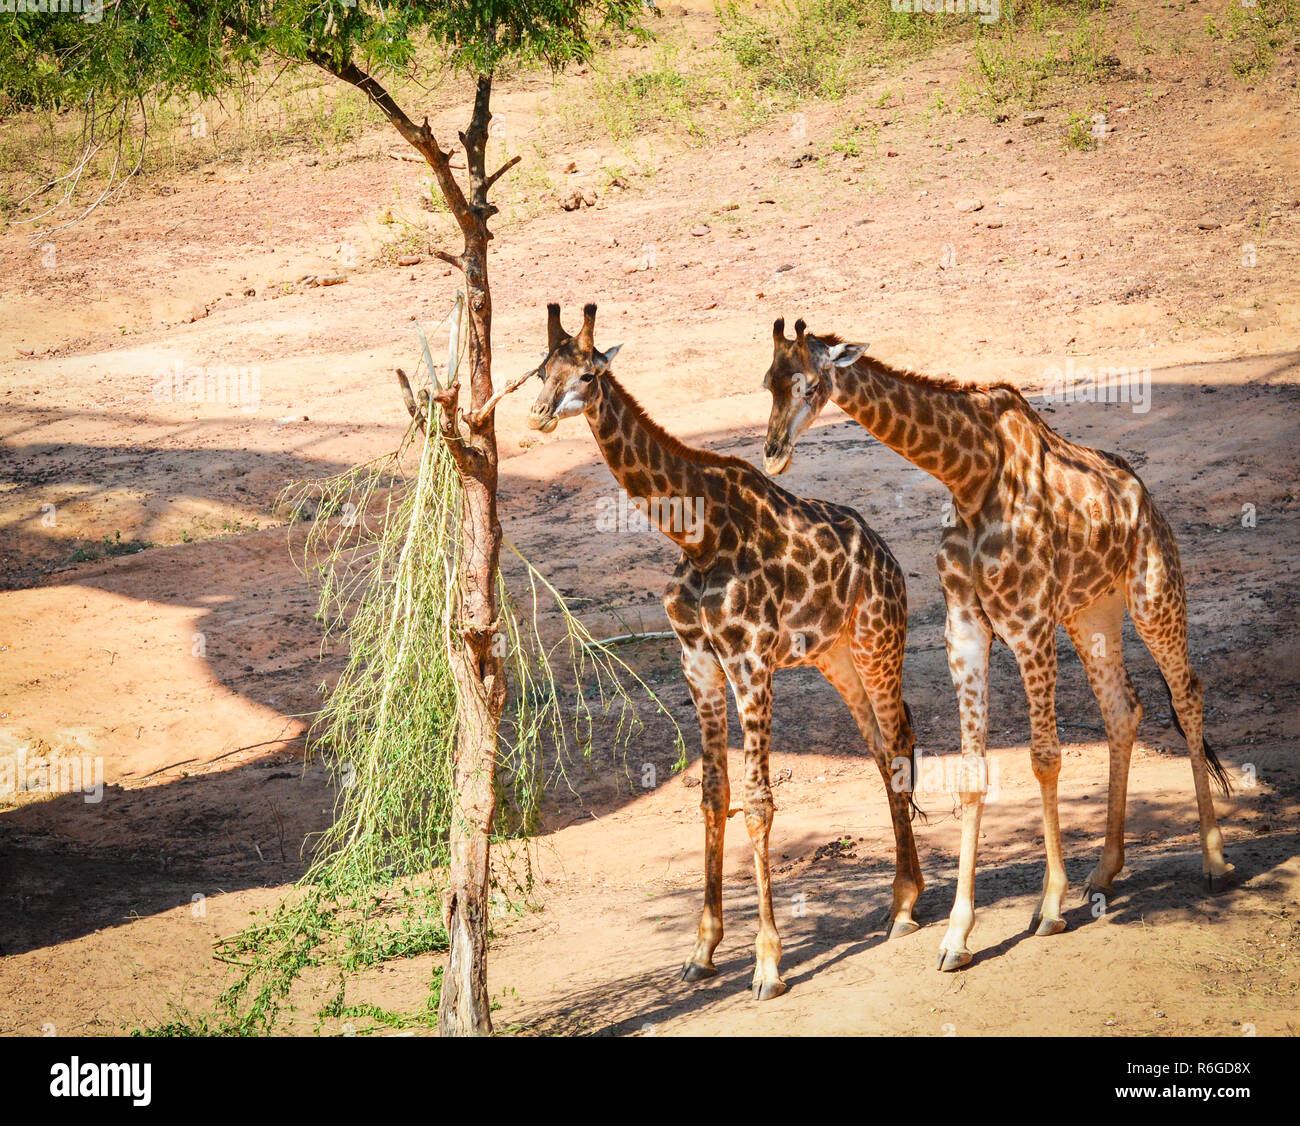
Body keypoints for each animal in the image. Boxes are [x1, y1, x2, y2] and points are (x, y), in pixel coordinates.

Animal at [525, 303, 924, 999]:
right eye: (540, 369)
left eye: (588, 373)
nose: (540, 413)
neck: (697, 533)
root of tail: (889, 557)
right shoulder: (700, 663)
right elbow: (714, 796)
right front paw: (702, 950)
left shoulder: (751, 663)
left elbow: (759, 805)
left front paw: (767, 964)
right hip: (835, 657)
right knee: (880, 748)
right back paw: (900, 899)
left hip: (878, 641)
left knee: (899, 745)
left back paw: (906, 905)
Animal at [759, 318, 1233, 972]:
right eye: (767, 382)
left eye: (806, 382)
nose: (772, 452)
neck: (968, 472)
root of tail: (1142, 492)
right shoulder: (965, 626)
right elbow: (971, 773)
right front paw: (957, 936)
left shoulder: (1029, 621)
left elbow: (1044, 758)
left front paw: (1049, 907)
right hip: (1092, 611)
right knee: (1123, 709)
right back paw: (1104, 875)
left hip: (1153, 590)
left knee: (1186, 695)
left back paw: (1213, 861)